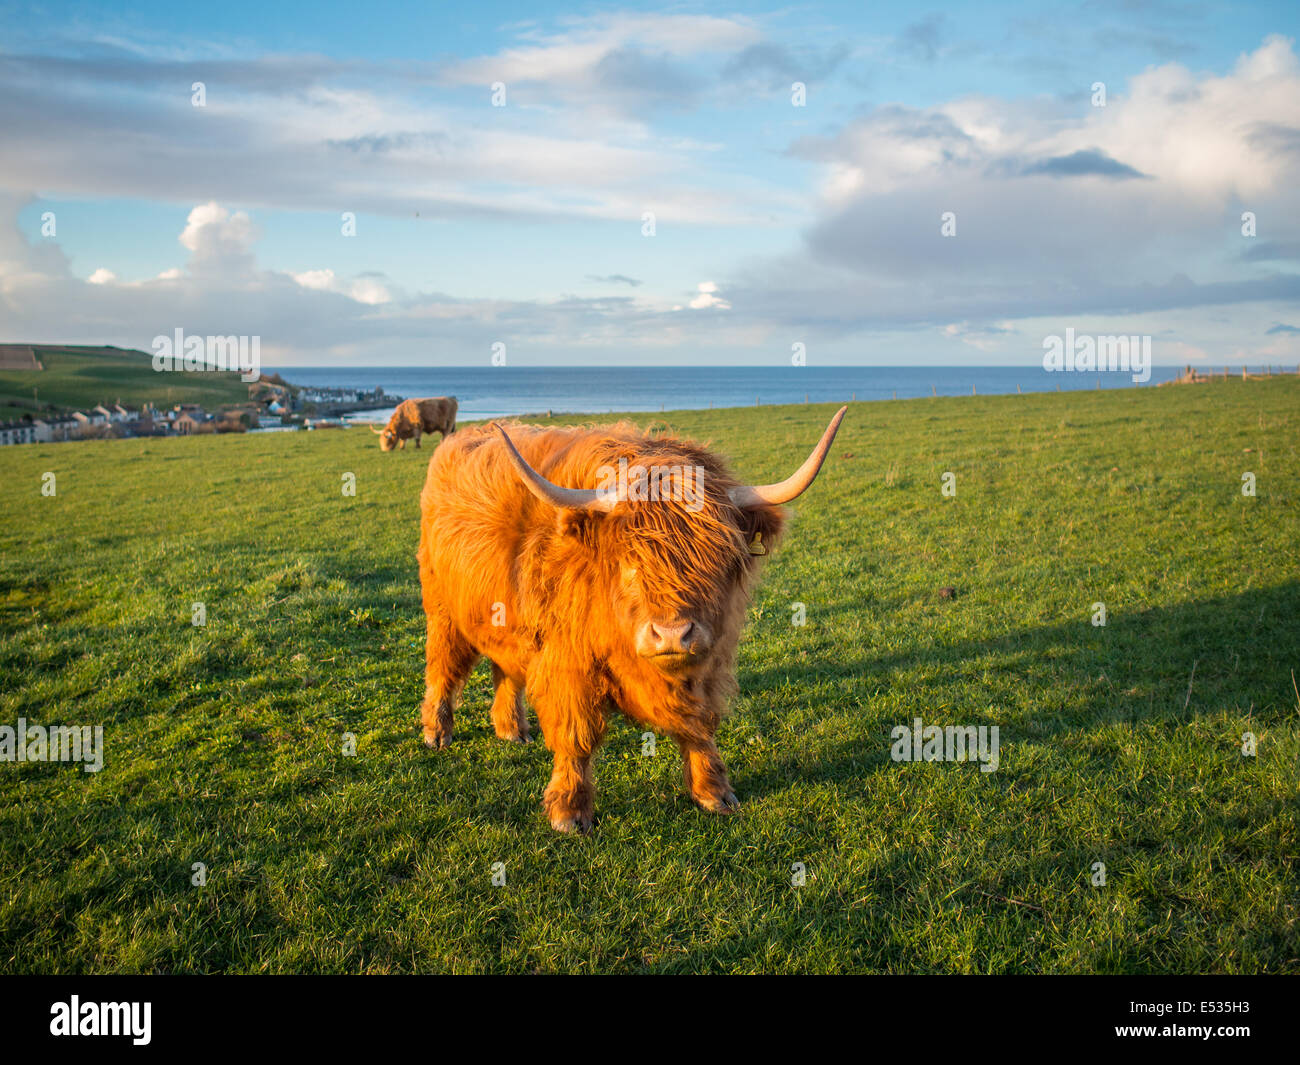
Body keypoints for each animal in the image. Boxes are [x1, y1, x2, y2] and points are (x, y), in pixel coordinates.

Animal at [414, 407, 847, 832]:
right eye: (629, 562)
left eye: (717, 557)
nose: (672, 635)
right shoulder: (569, 664)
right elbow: (577, 734)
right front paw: (569, 811)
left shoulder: (708, 662)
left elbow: (701, 724)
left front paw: (714, 791)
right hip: (443, 611)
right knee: (443, 668)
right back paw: (437, 733)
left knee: (505, 669)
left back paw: (511, 730)